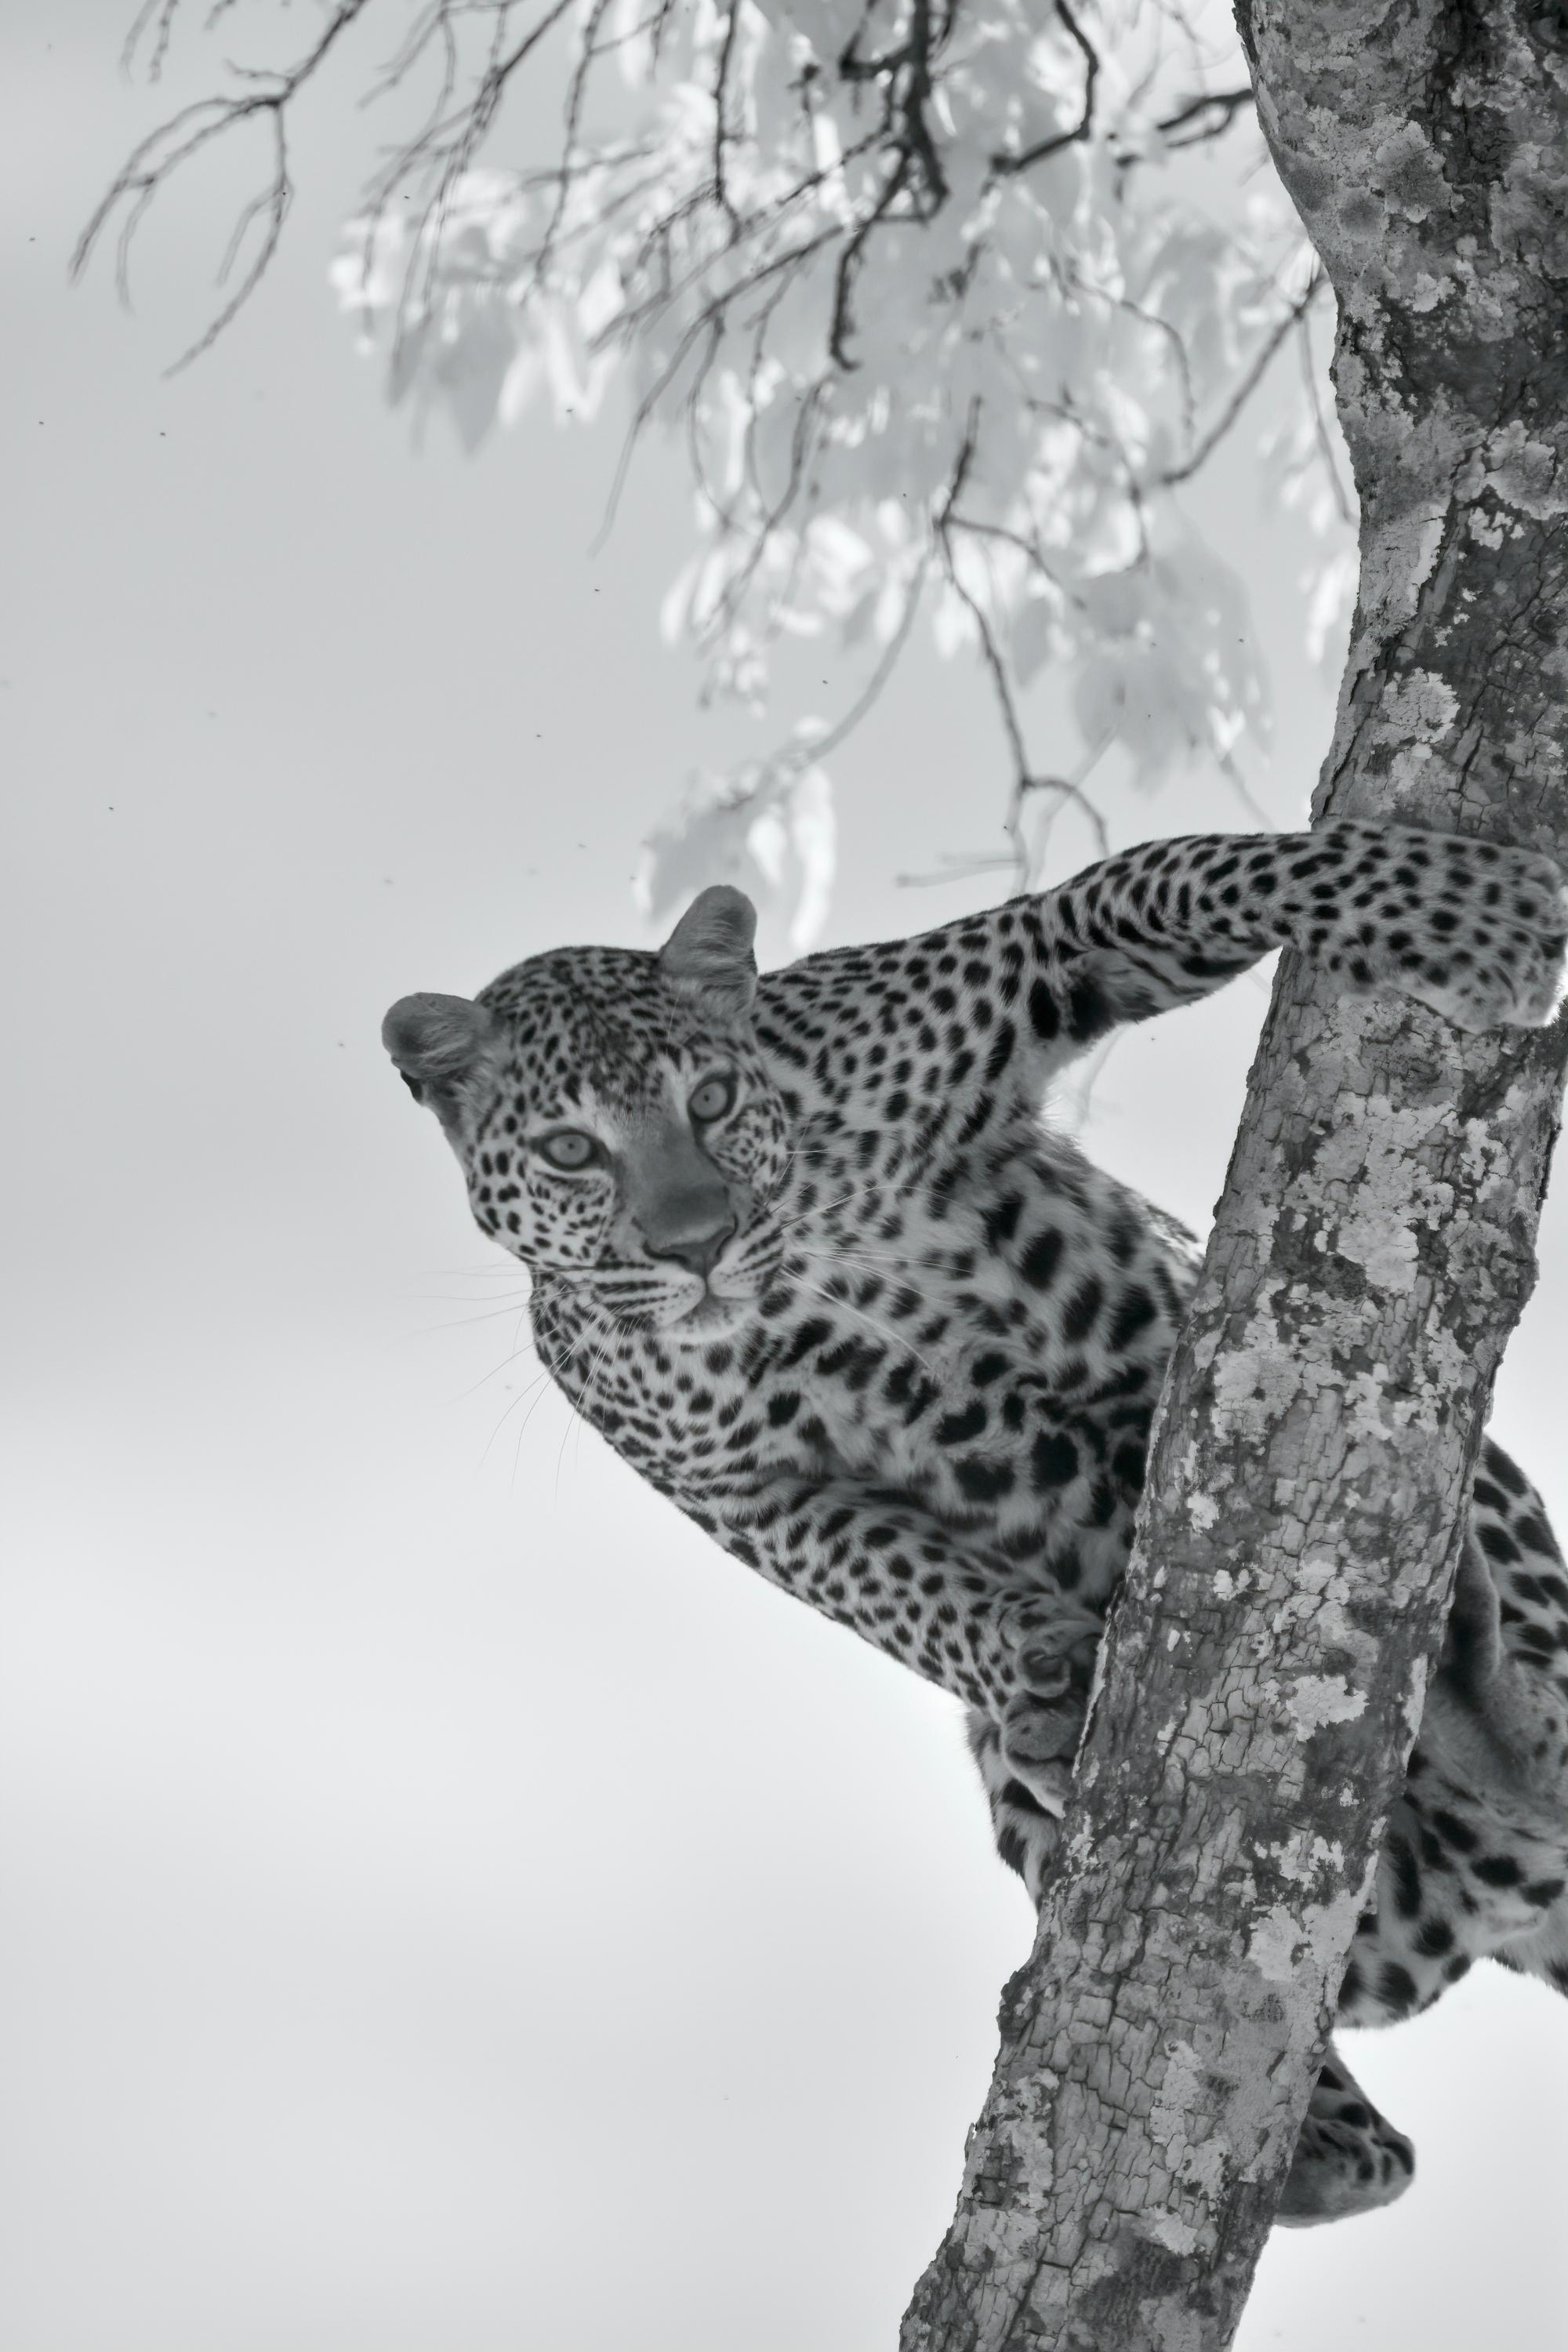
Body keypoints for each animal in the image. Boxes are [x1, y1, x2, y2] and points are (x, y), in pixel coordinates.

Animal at [384, 817, 1568, 2228]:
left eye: (710, 1102)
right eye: (571, 1151)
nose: (696, 1245)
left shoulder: (1026, 968)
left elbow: (1168, 871)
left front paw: (1473, 912)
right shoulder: (742, 1491)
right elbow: (888, 1583)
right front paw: (1032, 1662)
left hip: (1485, 1494)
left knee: (1543, 1720)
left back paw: (1492, 1698)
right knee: (1374, 2116)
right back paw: (1320, 2141)